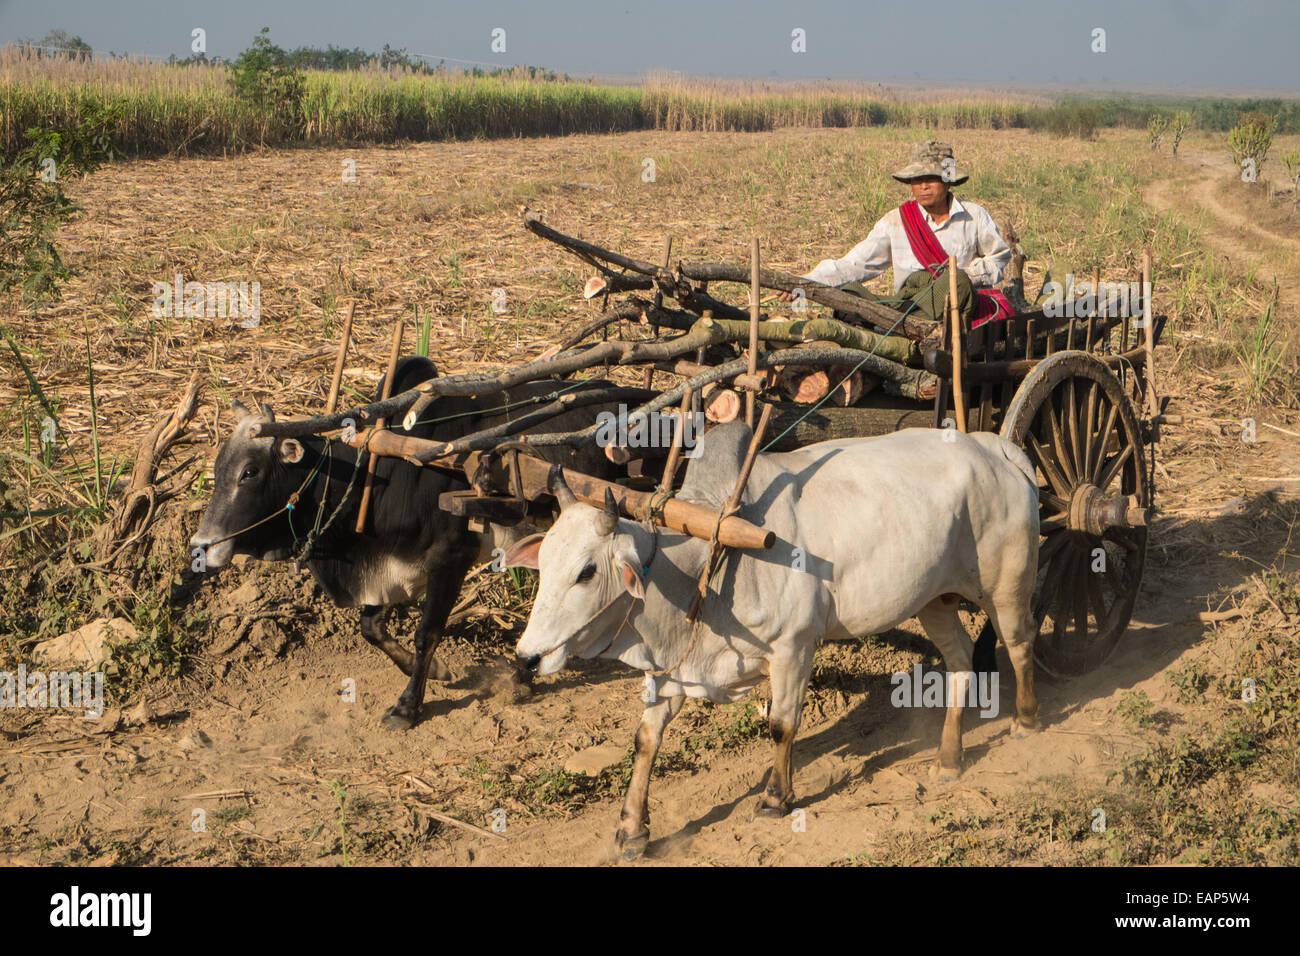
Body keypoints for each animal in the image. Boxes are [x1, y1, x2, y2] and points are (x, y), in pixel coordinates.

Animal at [189, 355, 648, 730]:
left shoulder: (450, 558)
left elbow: (426, 632)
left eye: (250, 472)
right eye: (218, 466)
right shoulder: (391, 568)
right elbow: (371, 627)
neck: (380, 476)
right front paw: (442, 672)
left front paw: (408, 706)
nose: (201, 546)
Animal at [505, 420, 1041, 859]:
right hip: (936, 599)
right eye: (544, 562)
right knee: (960, 661)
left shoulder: (793, 648)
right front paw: (632, 830)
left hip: (1007, 583)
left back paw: (1026, 720)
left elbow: (782, 726)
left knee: (1019, 645)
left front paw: (773, 799)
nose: (527, 657)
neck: (706, 567)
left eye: (586, 572)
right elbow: (645, 739)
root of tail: (995, 445)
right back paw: (949, 759)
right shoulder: (675, 669)